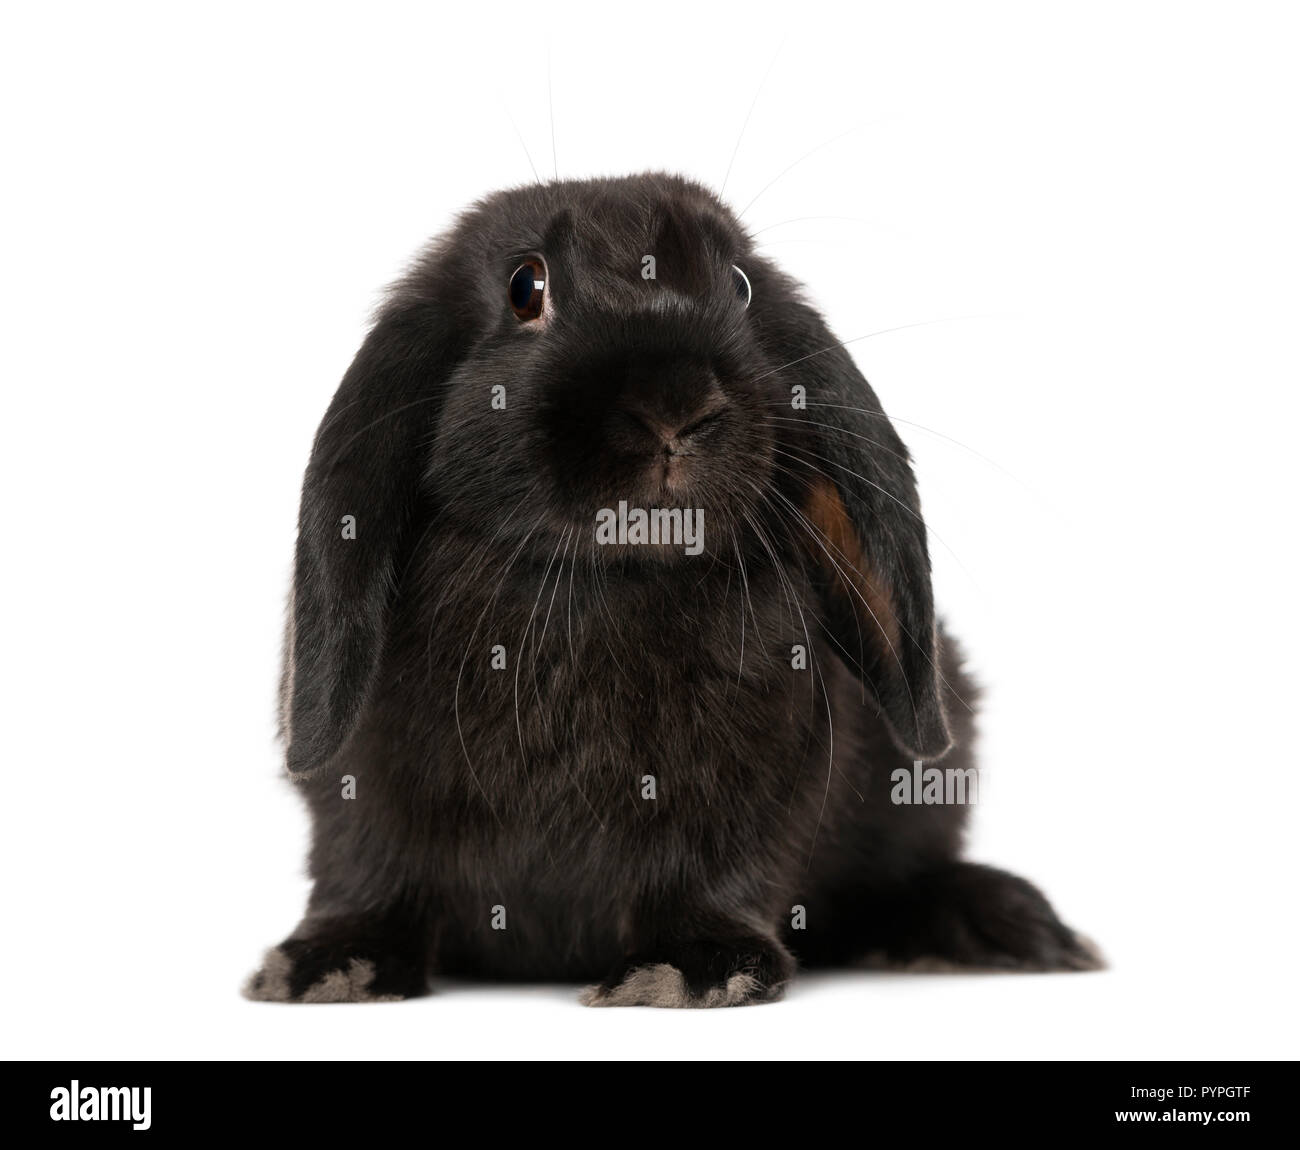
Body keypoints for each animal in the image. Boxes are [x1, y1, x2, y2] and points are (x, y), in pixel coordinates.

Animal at [245, 172, 1102, 1007]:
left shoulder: (750, 800)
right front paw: (329, 965)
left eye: (741, 288)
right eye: (527, 288)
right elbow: (369, 874)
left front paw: (691, 970)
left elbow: (714, 876)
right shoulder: (364, 796)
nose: (676, 406)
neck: (600, 583)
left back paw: (1002, 925)